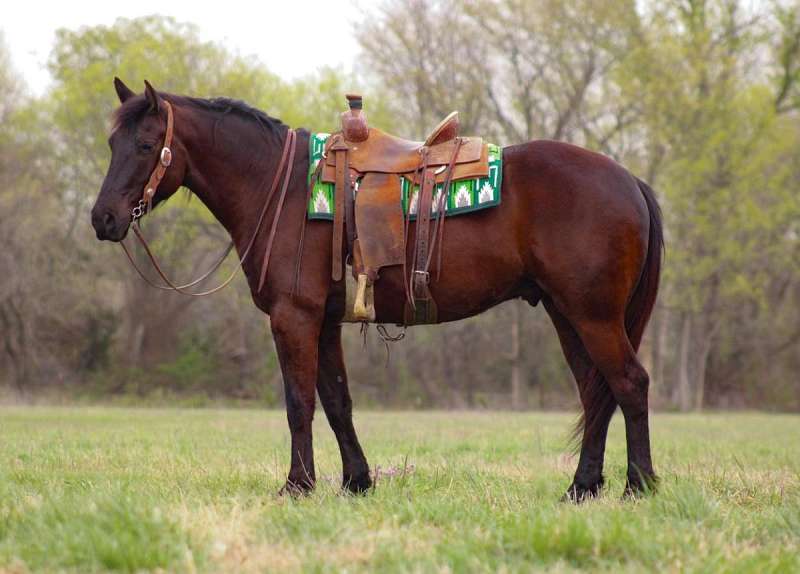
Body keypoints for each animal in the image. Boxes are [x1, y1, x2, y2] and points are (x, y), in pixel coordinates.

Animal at [91, 78, 664, 500]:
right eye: (112, 143)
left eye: (145, 145)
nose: (103, 218)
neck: (282, 188)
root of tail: (629, 180)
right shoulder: (322, 321)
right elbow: (336, 401)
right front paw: (356, 482)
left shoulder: (293, 317)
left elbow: (299, 402)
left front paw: (297, 486)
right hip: (568, 315)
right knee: (596, 393)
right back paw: (582, 488)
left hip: (592, 315)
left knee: (629, 384)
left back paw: (639, 485)